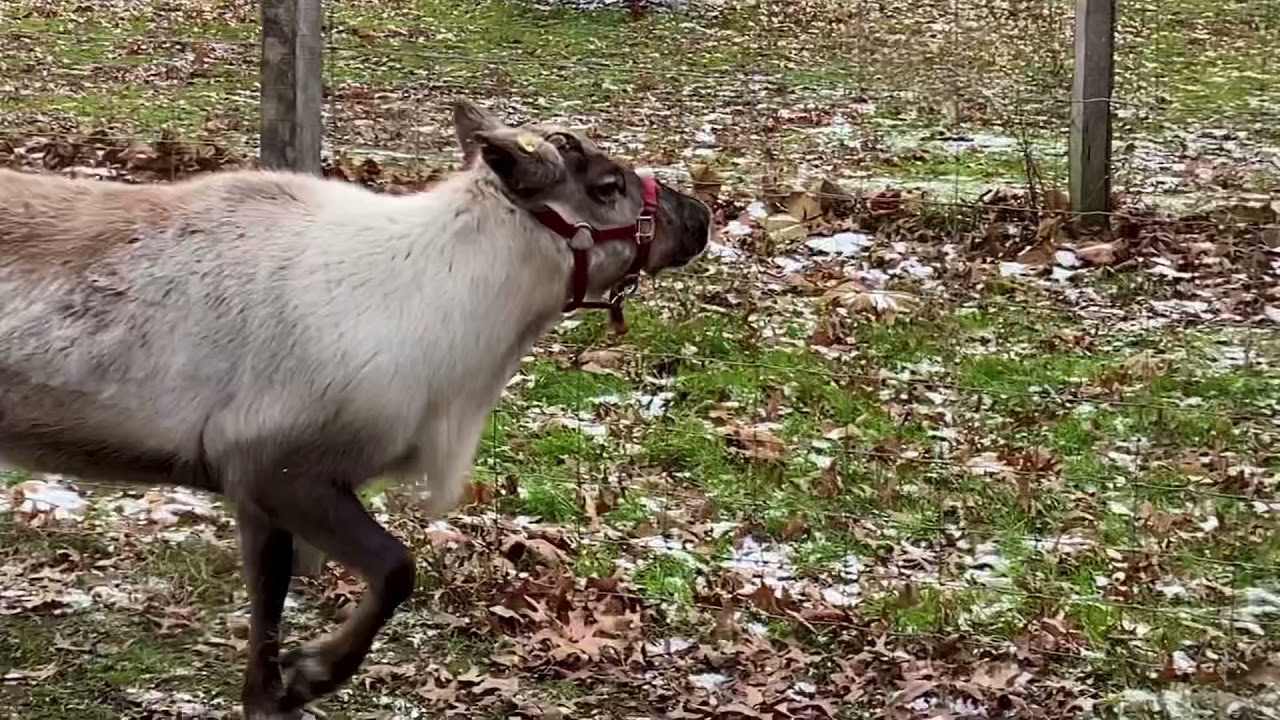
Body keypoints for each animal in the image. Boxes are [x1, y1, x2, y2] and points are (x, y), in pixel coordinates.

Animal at [0, 98, 713, 718]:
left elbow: (265, 630)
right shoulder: (274, 466)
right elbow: (397, 568)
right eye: (608, 184)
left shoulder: (252, 490)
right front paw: (314, 671)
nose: (701, 217)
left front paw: (280, 688)